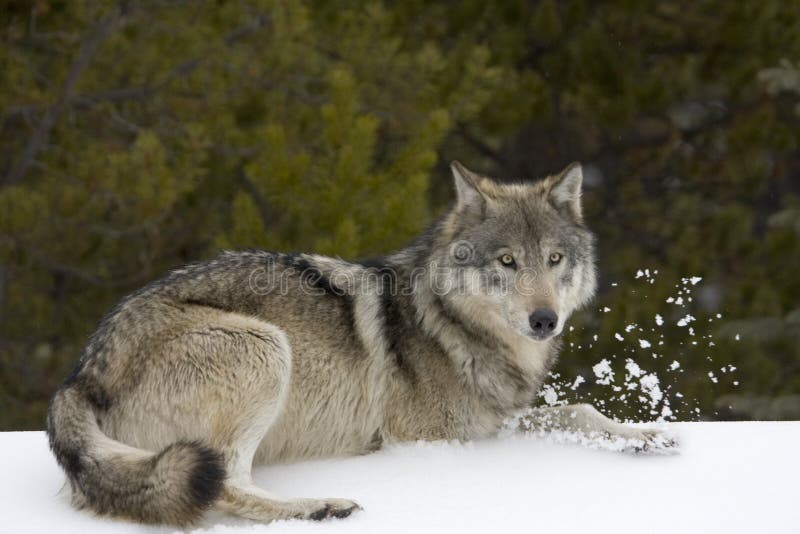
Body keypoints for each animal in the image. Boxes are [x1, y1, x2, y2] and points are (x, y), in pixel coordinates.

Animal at [46, 161, 675, 526]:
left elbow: (577, 409)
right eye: (506, 262)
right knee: (223, 487)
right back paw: (317, 506)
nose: (544, 320)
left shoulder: (495, 416)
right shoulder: (434, 438)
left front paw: (642, 436)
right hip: (265, 347)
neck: (450, 326)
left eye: (554, 259)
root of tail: (77, 377)